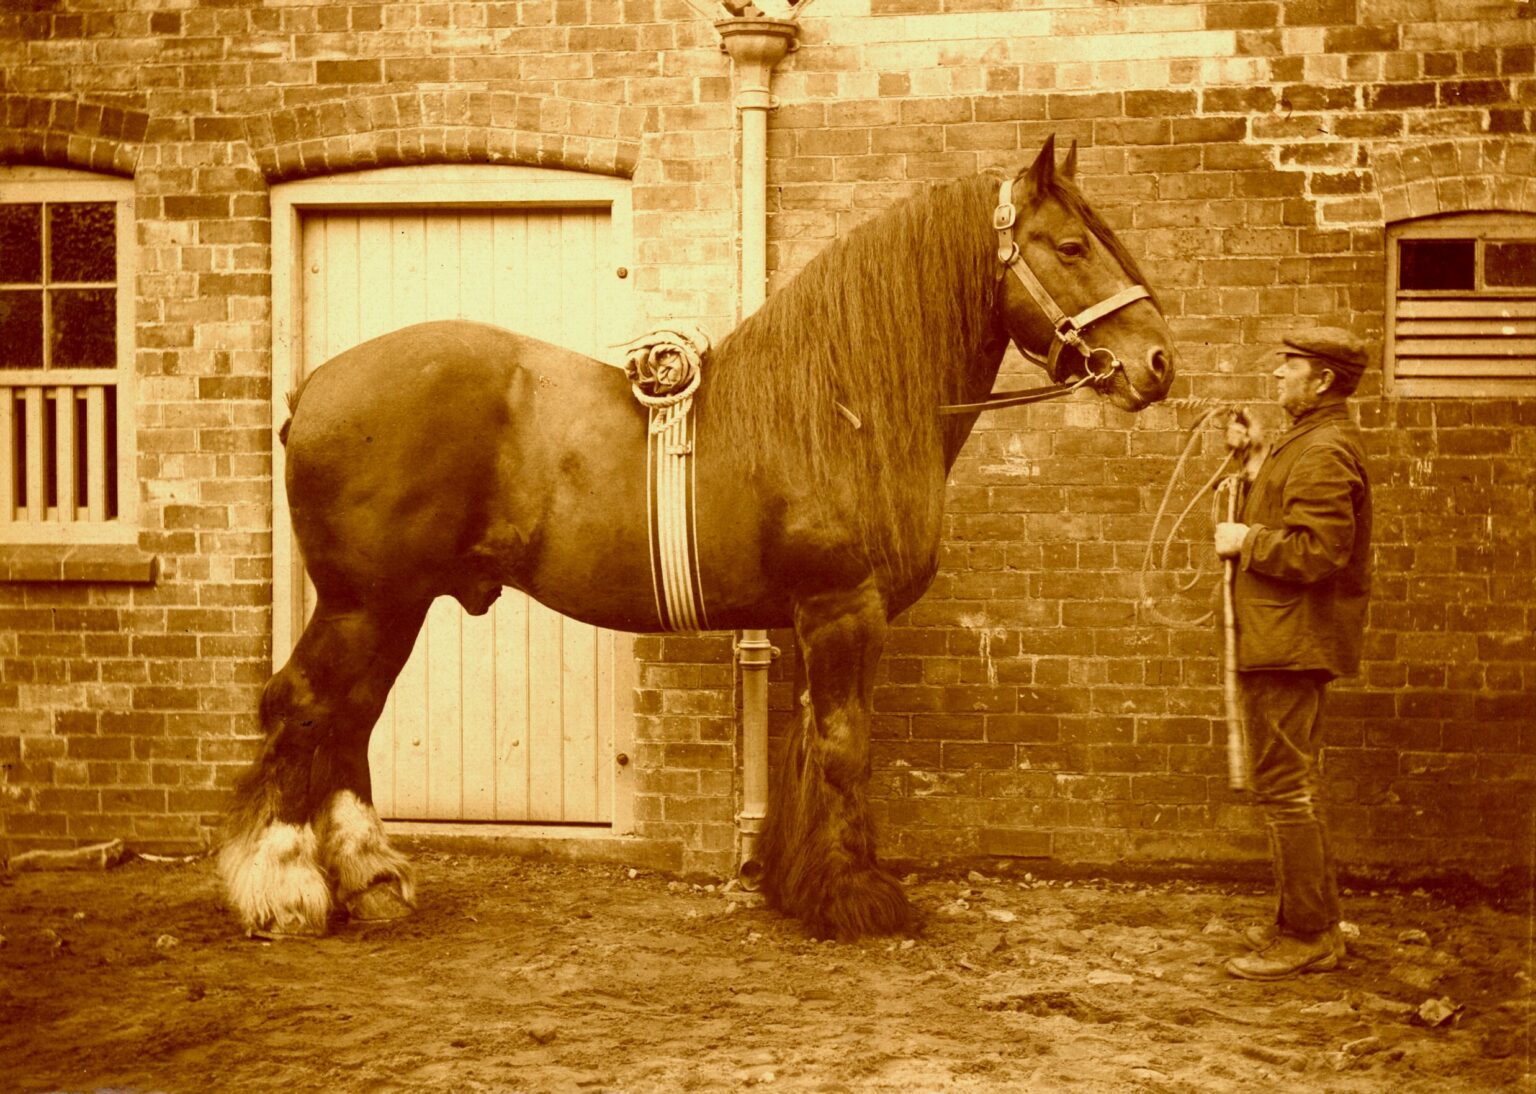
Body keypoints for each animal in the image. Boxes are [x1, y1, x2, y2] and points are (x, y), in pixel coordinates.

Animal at [219, 135, 1175, 941]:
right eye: (1071, 246)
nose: (1159, 363)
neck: (840, 407)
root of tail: (314, 390)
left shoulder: (815, 618)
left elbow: (811, 740)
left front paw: (801, 885)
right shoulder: (843, 608)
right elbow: (844, 746)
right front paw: (859, 897)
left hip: (394, 606)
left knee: (351, 717)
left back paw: (373, 881)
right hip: (365, 602)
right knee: (305, 707)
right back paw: (287, 890)